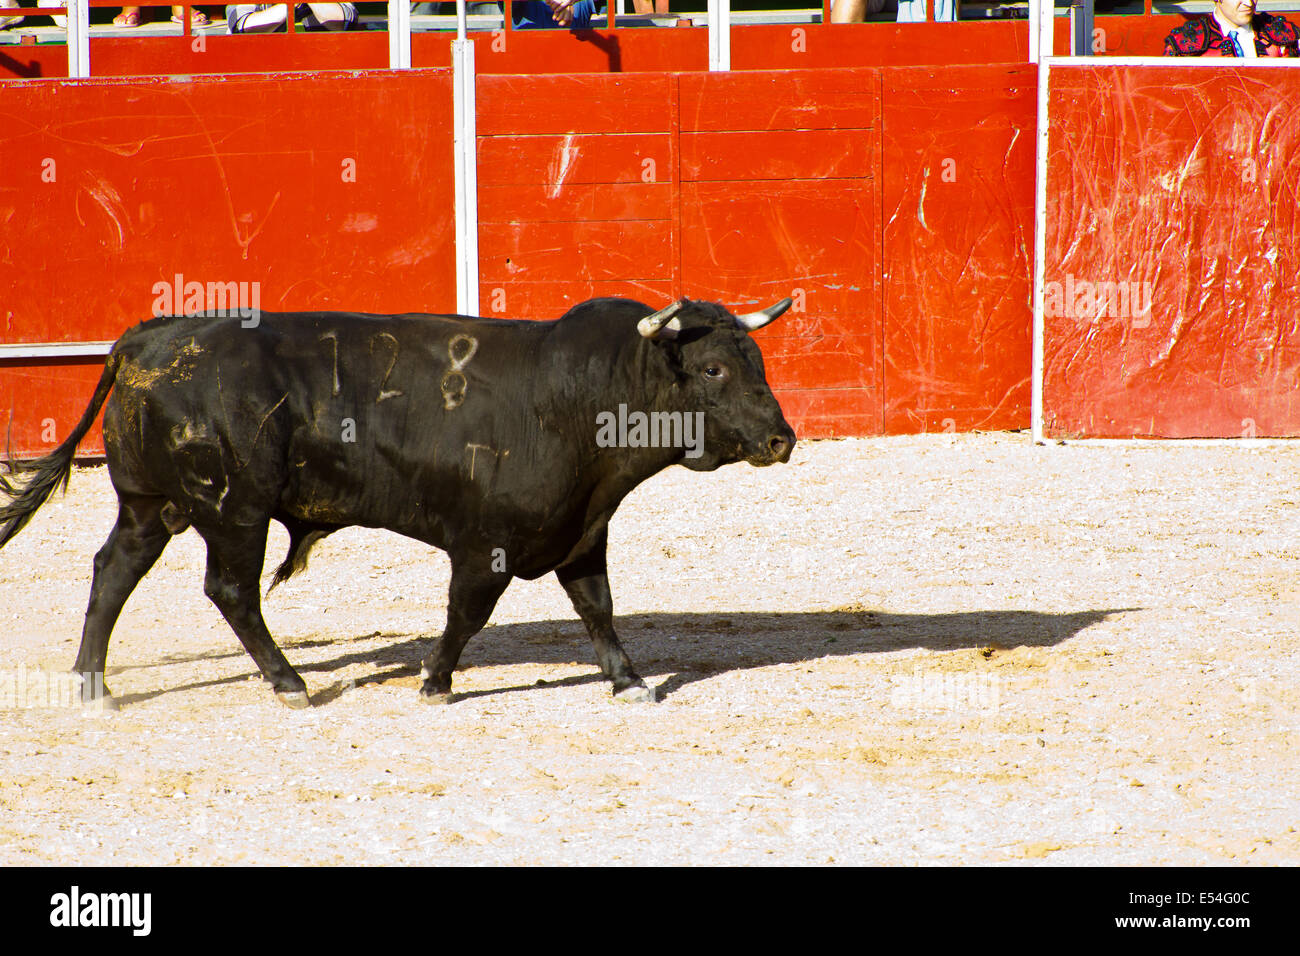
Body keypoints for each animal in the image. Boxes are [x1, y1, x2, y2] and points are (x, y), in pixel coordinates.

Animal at [0, 296, 796, 709]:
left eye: (757, 361)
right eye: (714, 368)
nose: (782, 439)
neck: (584, 397)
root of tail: (149, 338)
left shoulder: (579, 531)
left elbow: (597, 606)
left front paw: (629, 681)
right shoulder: (486, 545)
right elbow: (466, 614)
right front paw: (435, 682)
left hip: (149, 503)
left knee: (113, 571)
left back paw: (94, 687)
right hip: (234, 510)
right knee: (230, 589)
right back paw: (290, 683)